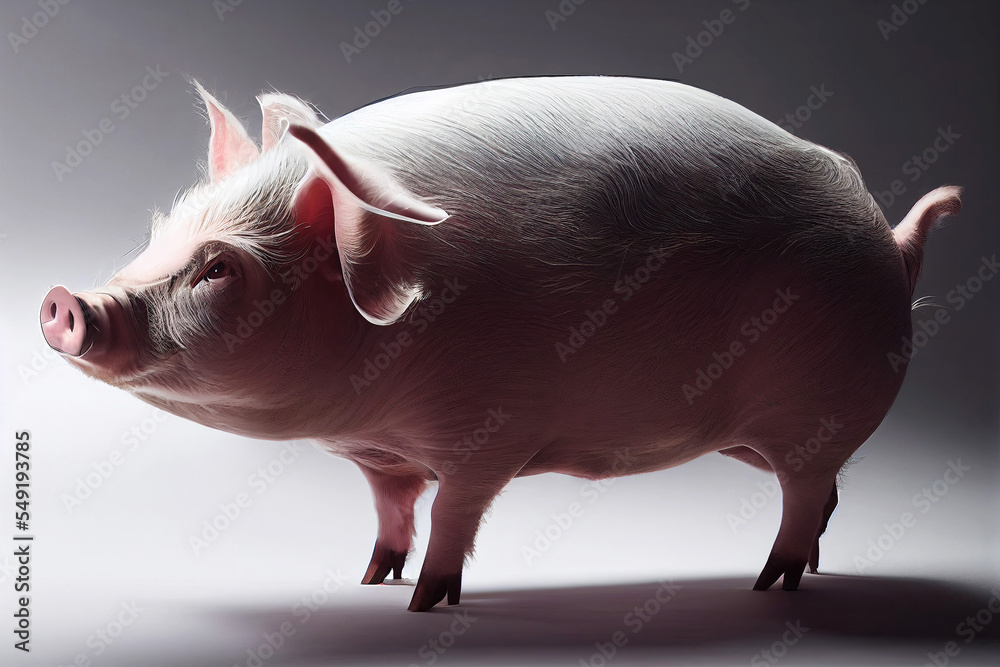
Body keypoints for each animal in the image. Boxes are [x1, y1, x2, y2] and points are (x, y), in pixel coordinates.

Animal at [40, 76, 962, 612]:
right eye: (158, 233)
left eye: (219, 266)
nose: (63, 301)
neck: (375, 407)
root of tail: (892, 239)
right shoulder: (385, 455)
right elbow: (392, 507)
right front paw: (373, 579)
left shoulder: (487, 430)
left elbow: (454, 511)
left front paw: (425, 604)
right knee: (824, 494)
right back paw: (805, 574)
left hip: (815, 414)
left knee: (804, 492)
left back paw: (771, 584)